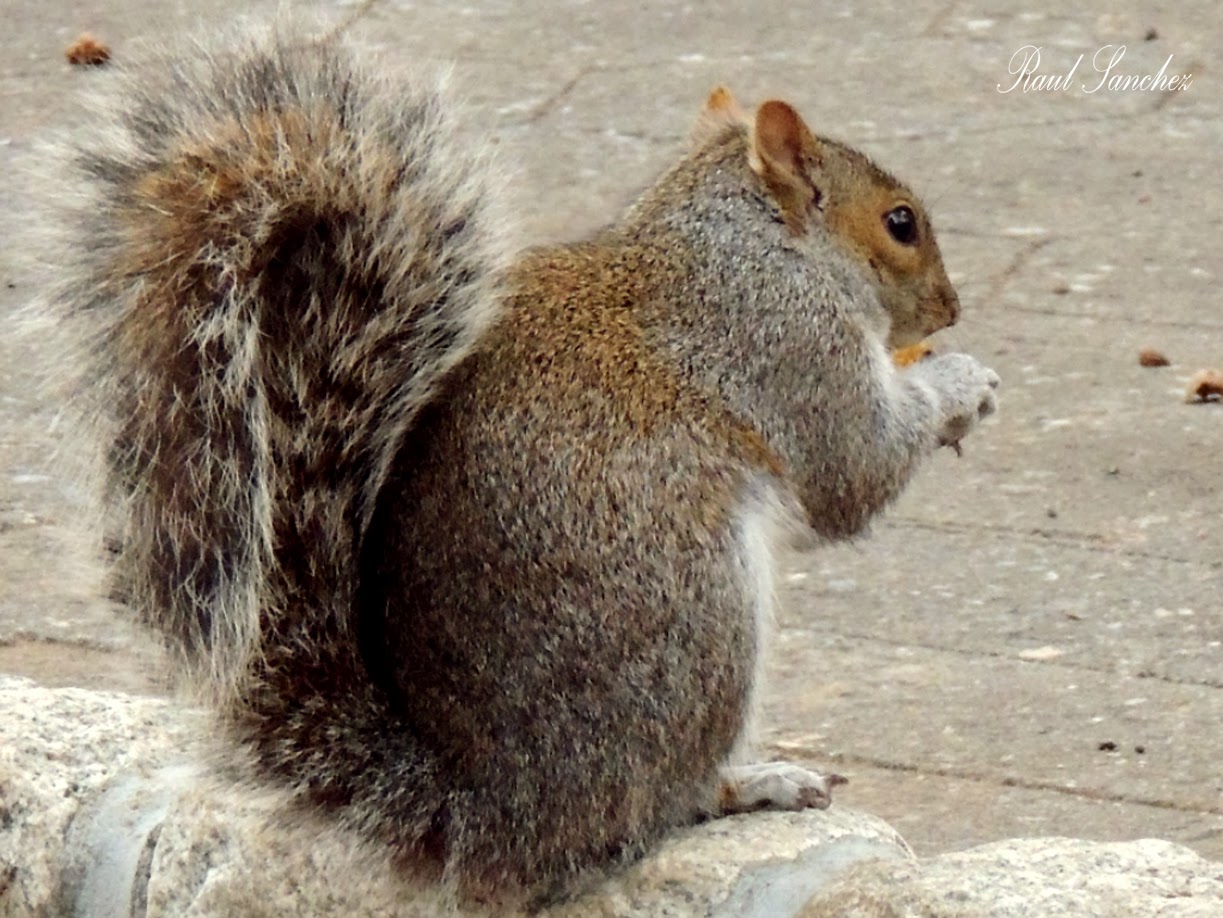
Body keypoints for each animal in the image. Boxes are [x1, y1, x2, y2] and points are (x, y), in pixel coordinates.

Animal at [32, 23, 998, 906]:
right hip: (704, 626)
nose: (950, 308)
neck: (747, 241)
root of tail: (495, 814)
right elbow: (853, 472)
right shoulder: (789, 345)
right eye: (899, 223)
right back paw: (751, 783)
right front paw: (962, 383)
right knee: (654, 805)